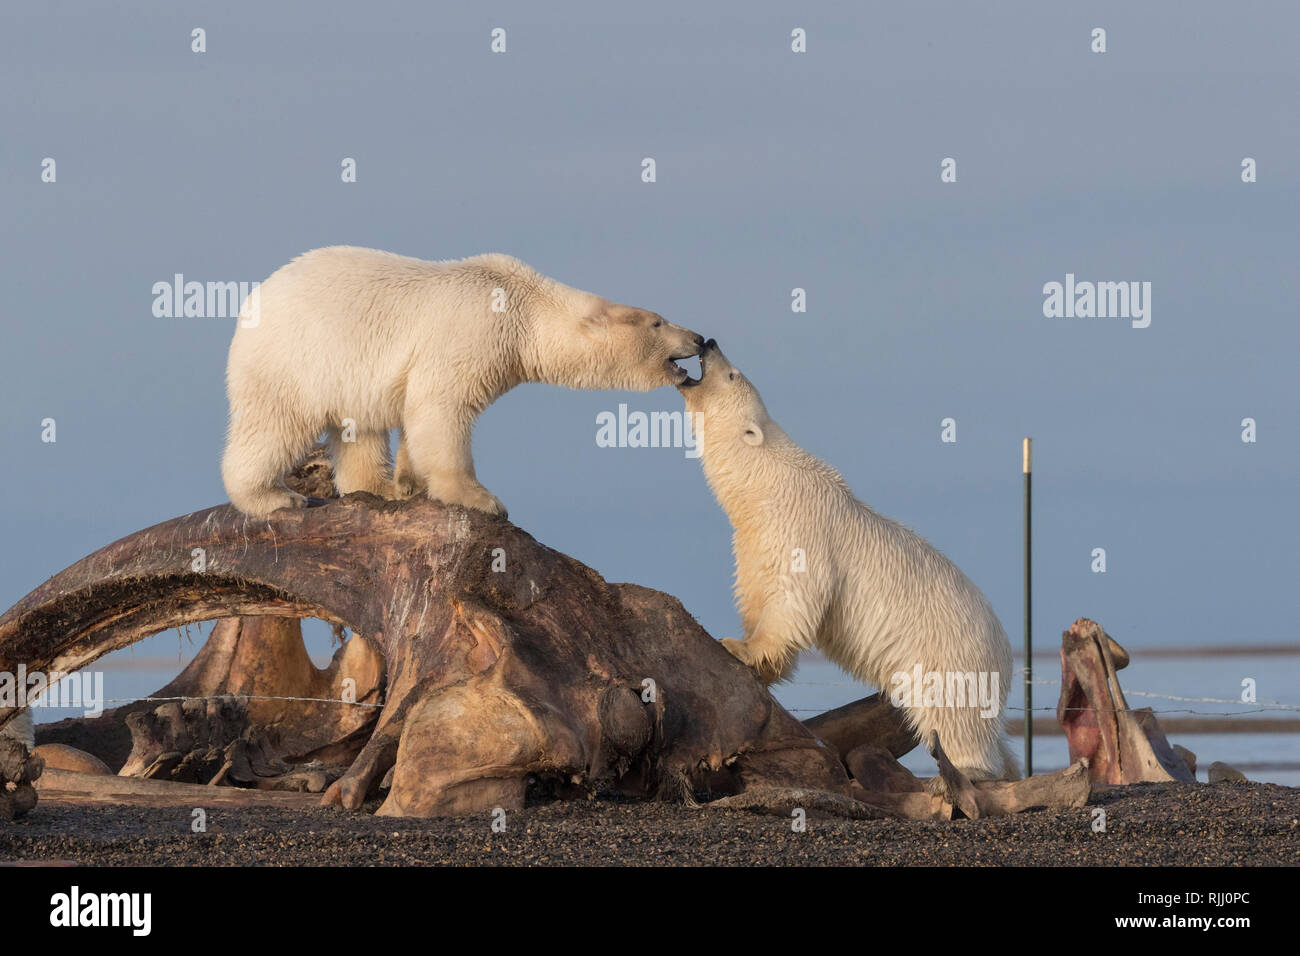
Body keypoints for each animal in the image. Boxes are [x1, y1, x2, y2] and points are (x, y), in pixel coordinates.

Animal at [222, 247, 704, 517]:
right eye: (658, 322)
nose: (700, 338)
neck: (524, 307)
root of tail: (254, 300)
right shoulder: (472, 330)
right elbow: (442, 407)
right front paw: (482, 499)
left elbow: (415, 417)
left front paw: (409, 485)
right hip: (294, 358)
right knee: (274, 423)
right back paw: (275, 497)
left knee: (359, 430)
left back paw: (379, 490)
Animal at [679, 340, 1018, 781]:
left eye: (733, 373)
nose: (709, 343)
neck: (768, 483)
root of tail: (1007, 651)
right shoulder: (754, 538)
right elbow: (757, 589)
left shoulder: (800, 530)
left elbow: (793, 602)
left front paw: (739, 647)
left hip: (952, 659)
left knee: (957, 722)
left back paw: (968, 773)